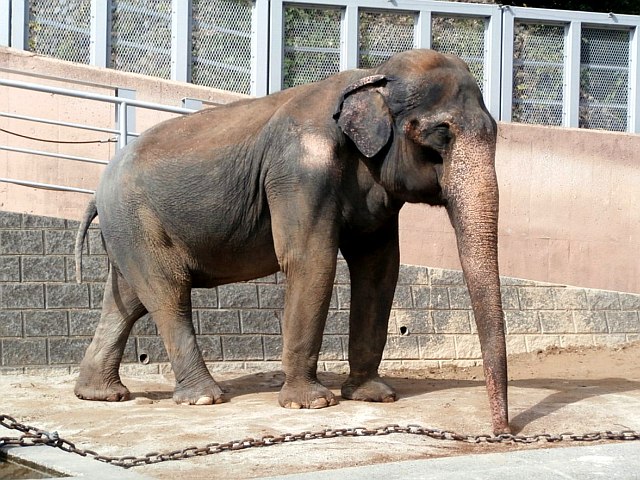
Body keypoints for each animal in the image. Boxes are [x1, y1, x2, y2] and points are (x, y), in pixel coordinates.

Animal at [74, 48, 509, 434]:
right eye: (441, 134)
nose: (502, 431)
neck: (372, 74)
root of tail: (97, 190)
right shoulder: (299, 170)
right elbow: (309, 260)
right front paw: (311, 404)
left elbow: (379, 268)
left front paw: (373, 396)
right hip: (136, 221)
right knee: (168, 293)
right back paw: (204, 397)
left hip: (128, 230)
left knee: (127, 301)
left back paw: (102, 395)